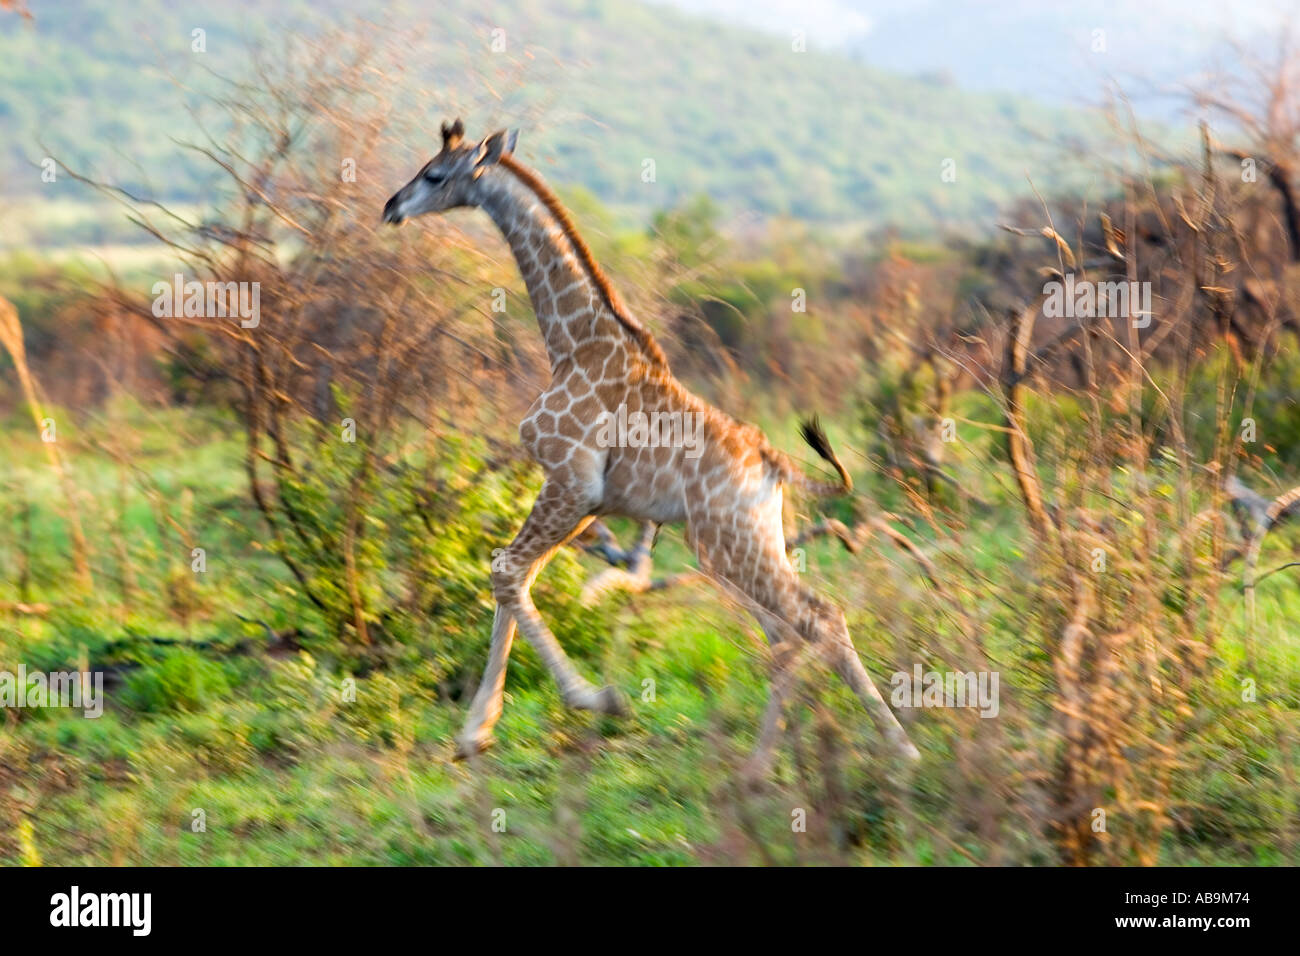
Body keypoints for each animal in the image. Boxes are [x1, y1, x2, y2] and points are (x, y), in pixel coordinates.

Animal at [383, 120, 920, 771]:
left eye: (435, 175)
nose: (391, 206)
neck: (571, 343)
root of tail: (777, 466)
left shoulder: (570, 481)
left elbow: (506, 571)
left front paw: (599, 699)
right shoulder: (581, 498)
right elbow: (516, 576)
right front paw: (474, 733)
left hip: (729, 543)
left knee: (819, 618)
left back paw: (899, 754)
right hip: (737, 544)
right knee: (788, 634)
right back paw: (766, 766)